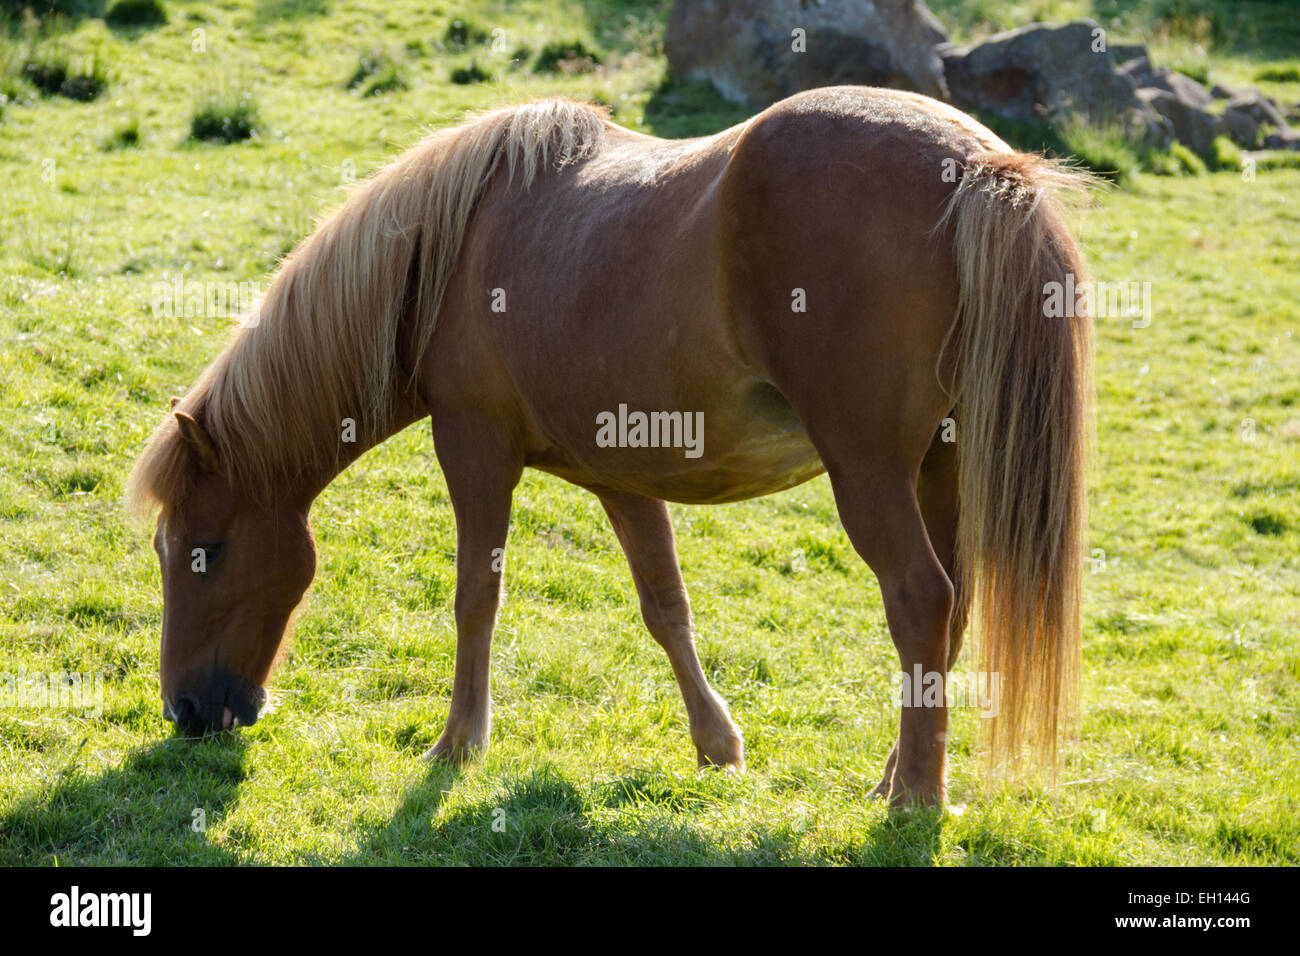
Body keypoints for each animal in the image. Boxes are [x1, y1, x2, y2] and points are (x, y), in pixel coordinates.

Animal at [128, 86, 1093, 808]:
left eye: (204, 551)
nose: (184, 709)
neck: (457, 246)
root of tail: (978, 167)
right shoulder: (624, 477)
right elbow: (666, 608)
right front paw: (717, 744)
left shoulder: (474, 448)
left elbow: (476, 597)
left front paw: (457, 743)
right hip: (940, 467)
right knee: (954, 611)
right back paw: (896, 777)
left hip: (871, 474)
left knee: (921, 602)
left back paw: (915, 799)